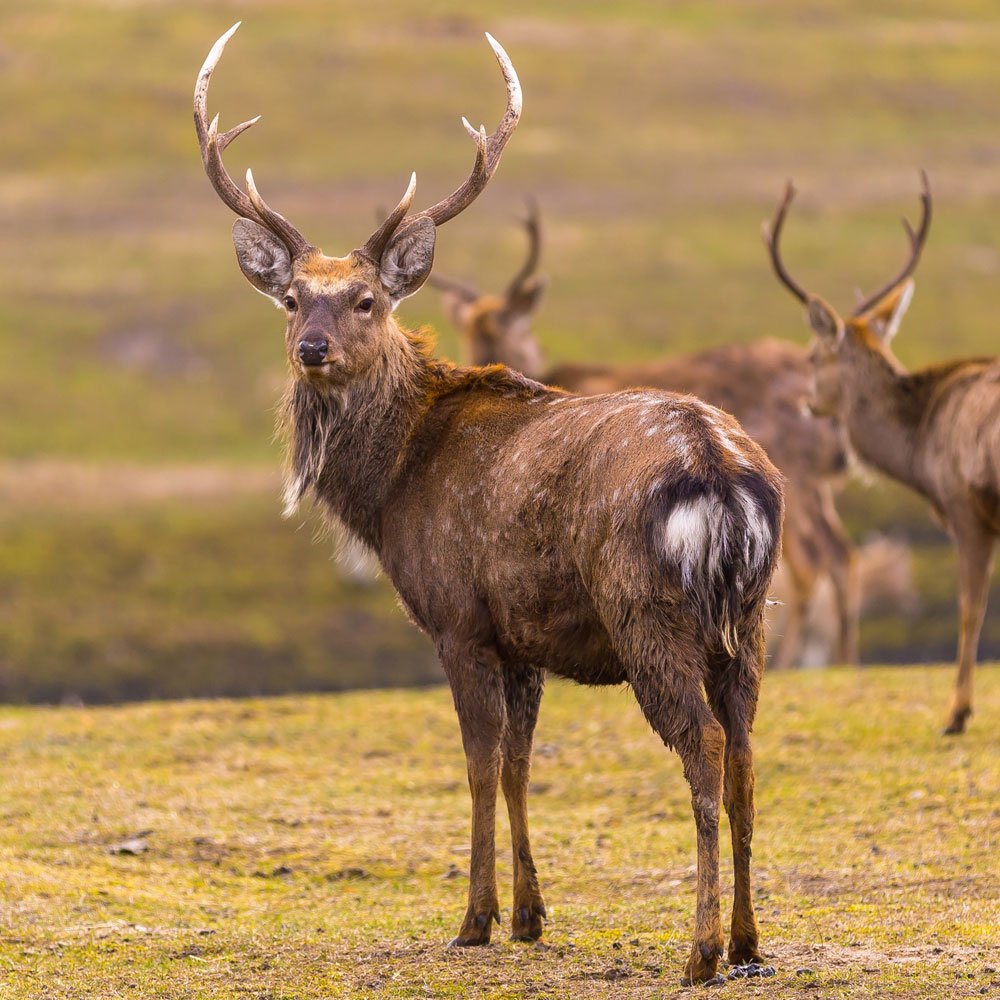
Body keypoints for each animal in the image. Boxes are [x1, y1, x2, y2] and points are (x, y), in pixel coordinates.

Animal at [194, 23, 784, 984]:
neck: (391, 484)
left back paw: (698, 951)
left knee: (699, 746)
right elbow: (517, 764)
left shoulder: (457, 617)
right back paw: (747, 941)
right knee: (744, 755)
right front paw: (532, 916)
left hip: (648, 612)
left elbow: (475, 764)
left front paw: (474, 918)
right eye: (290, 298)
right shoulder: (523, 636)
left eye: (367, 299)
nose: (313, 347)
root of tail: (722, 474)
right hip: (751, 620)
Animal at [432, 204, 857, 670]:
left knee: (812, 562)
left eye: (514, 327)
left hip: (796, 472)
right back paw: (839, 657)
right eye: (469, 333)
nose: (488, 362)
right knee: (837, 552)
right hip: (811, 484)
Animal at [764, 173, 999, 734]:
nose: (807, 402)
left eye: (812, 355)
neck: (923, 451)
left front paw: (957, 713)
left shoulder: (965, 506)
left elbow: (970, 605)